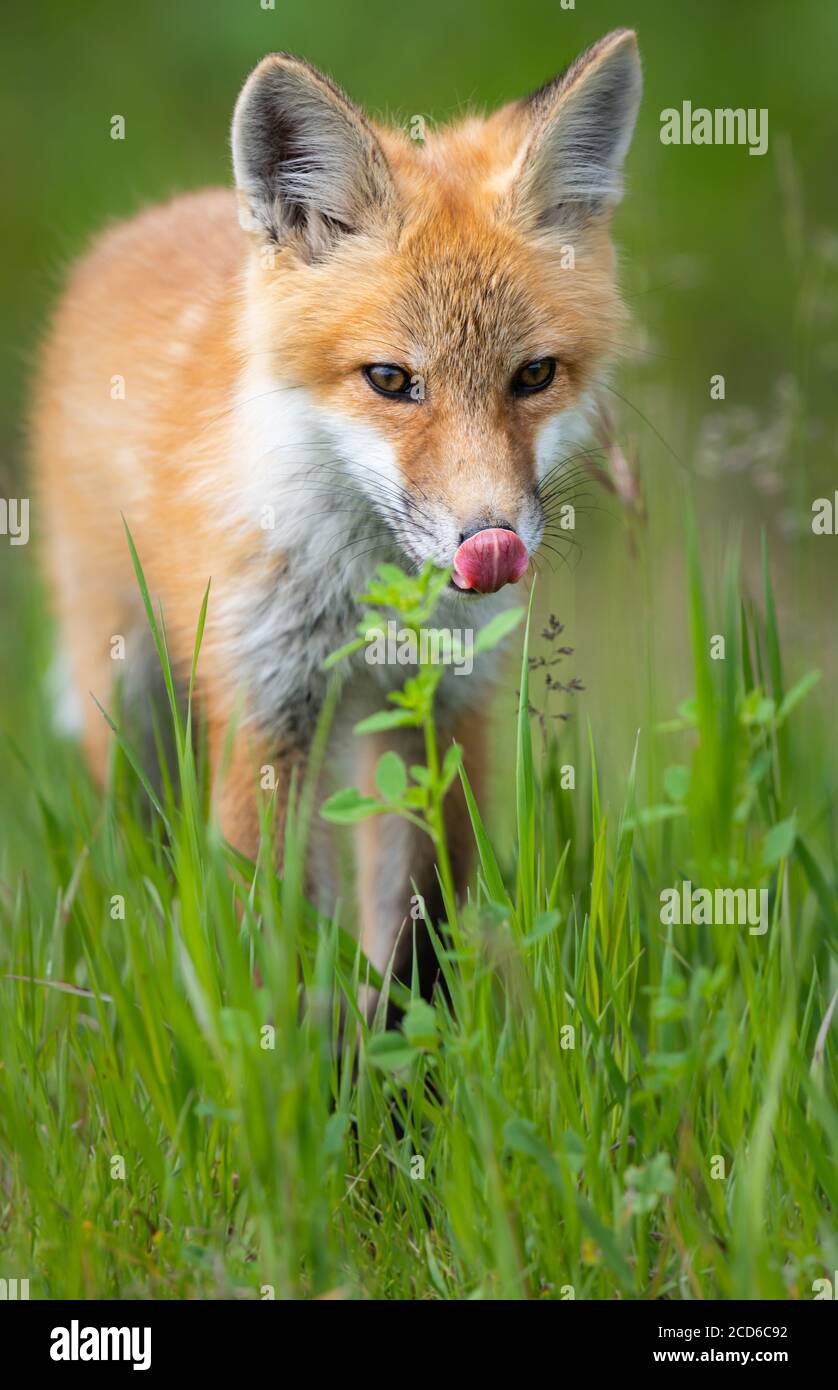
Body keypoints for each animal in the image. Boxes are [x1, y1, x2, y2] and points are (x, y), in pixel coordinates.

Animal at [33, 29, 642, 995]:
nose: (492, 544)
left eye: (535, 375)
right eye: (390, 380)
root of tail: (150, 221)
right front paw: (285, 1039)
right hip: (127, 695)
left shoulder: (441, 705)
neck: (363, 592)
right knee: (145, 849)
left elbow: (419, 924)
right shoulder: (266, 710)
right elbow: (275, 942)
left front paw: (410, 1039)